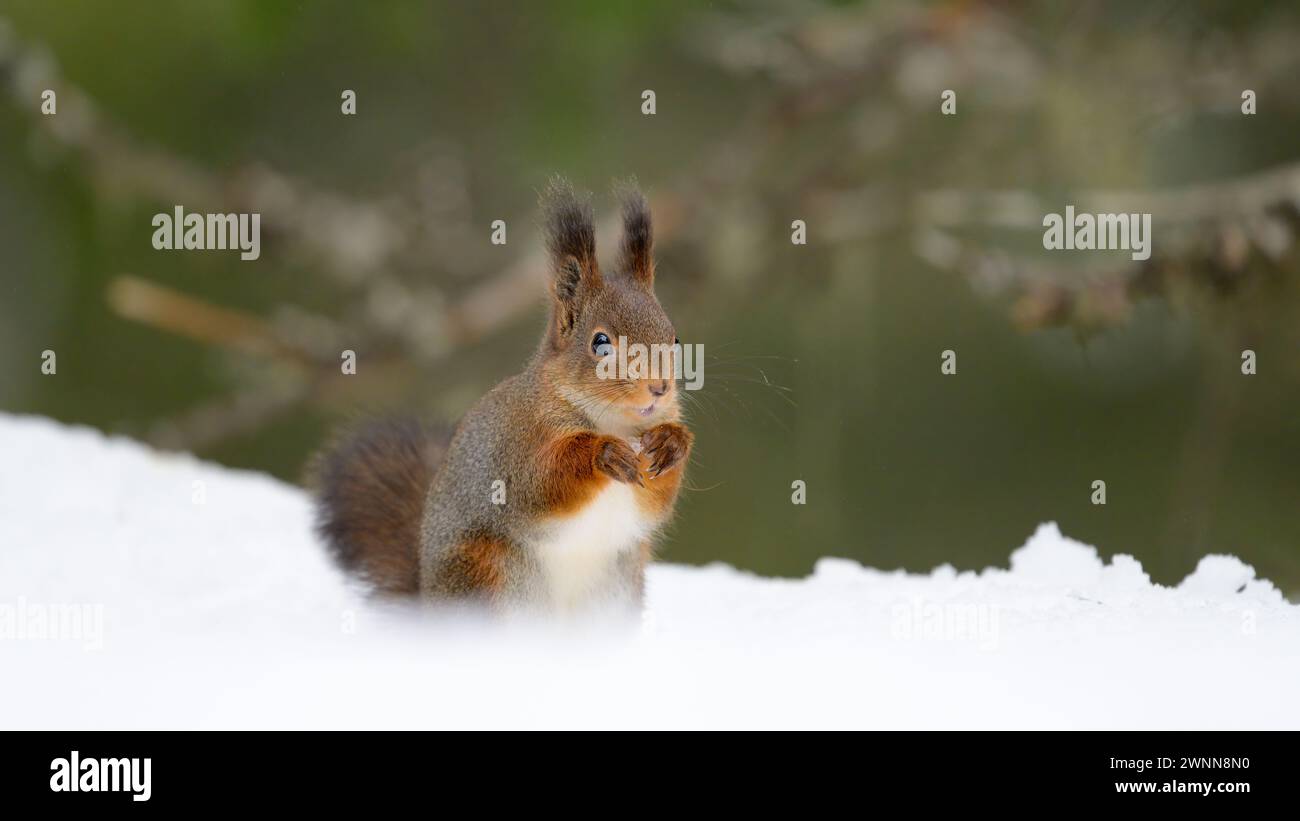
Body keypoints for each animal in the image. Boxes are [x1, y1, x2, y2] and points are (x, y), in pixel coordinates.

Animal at [311, 178, 692, 615]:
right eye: (600, 343)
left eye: (675, 339)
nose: (659, 388)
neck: (615, 422)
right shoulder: (518, 444)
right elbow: (541, 482)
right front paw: (604, 454)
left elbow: (658, 499)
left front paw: (672, 442)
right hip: (486, 575)